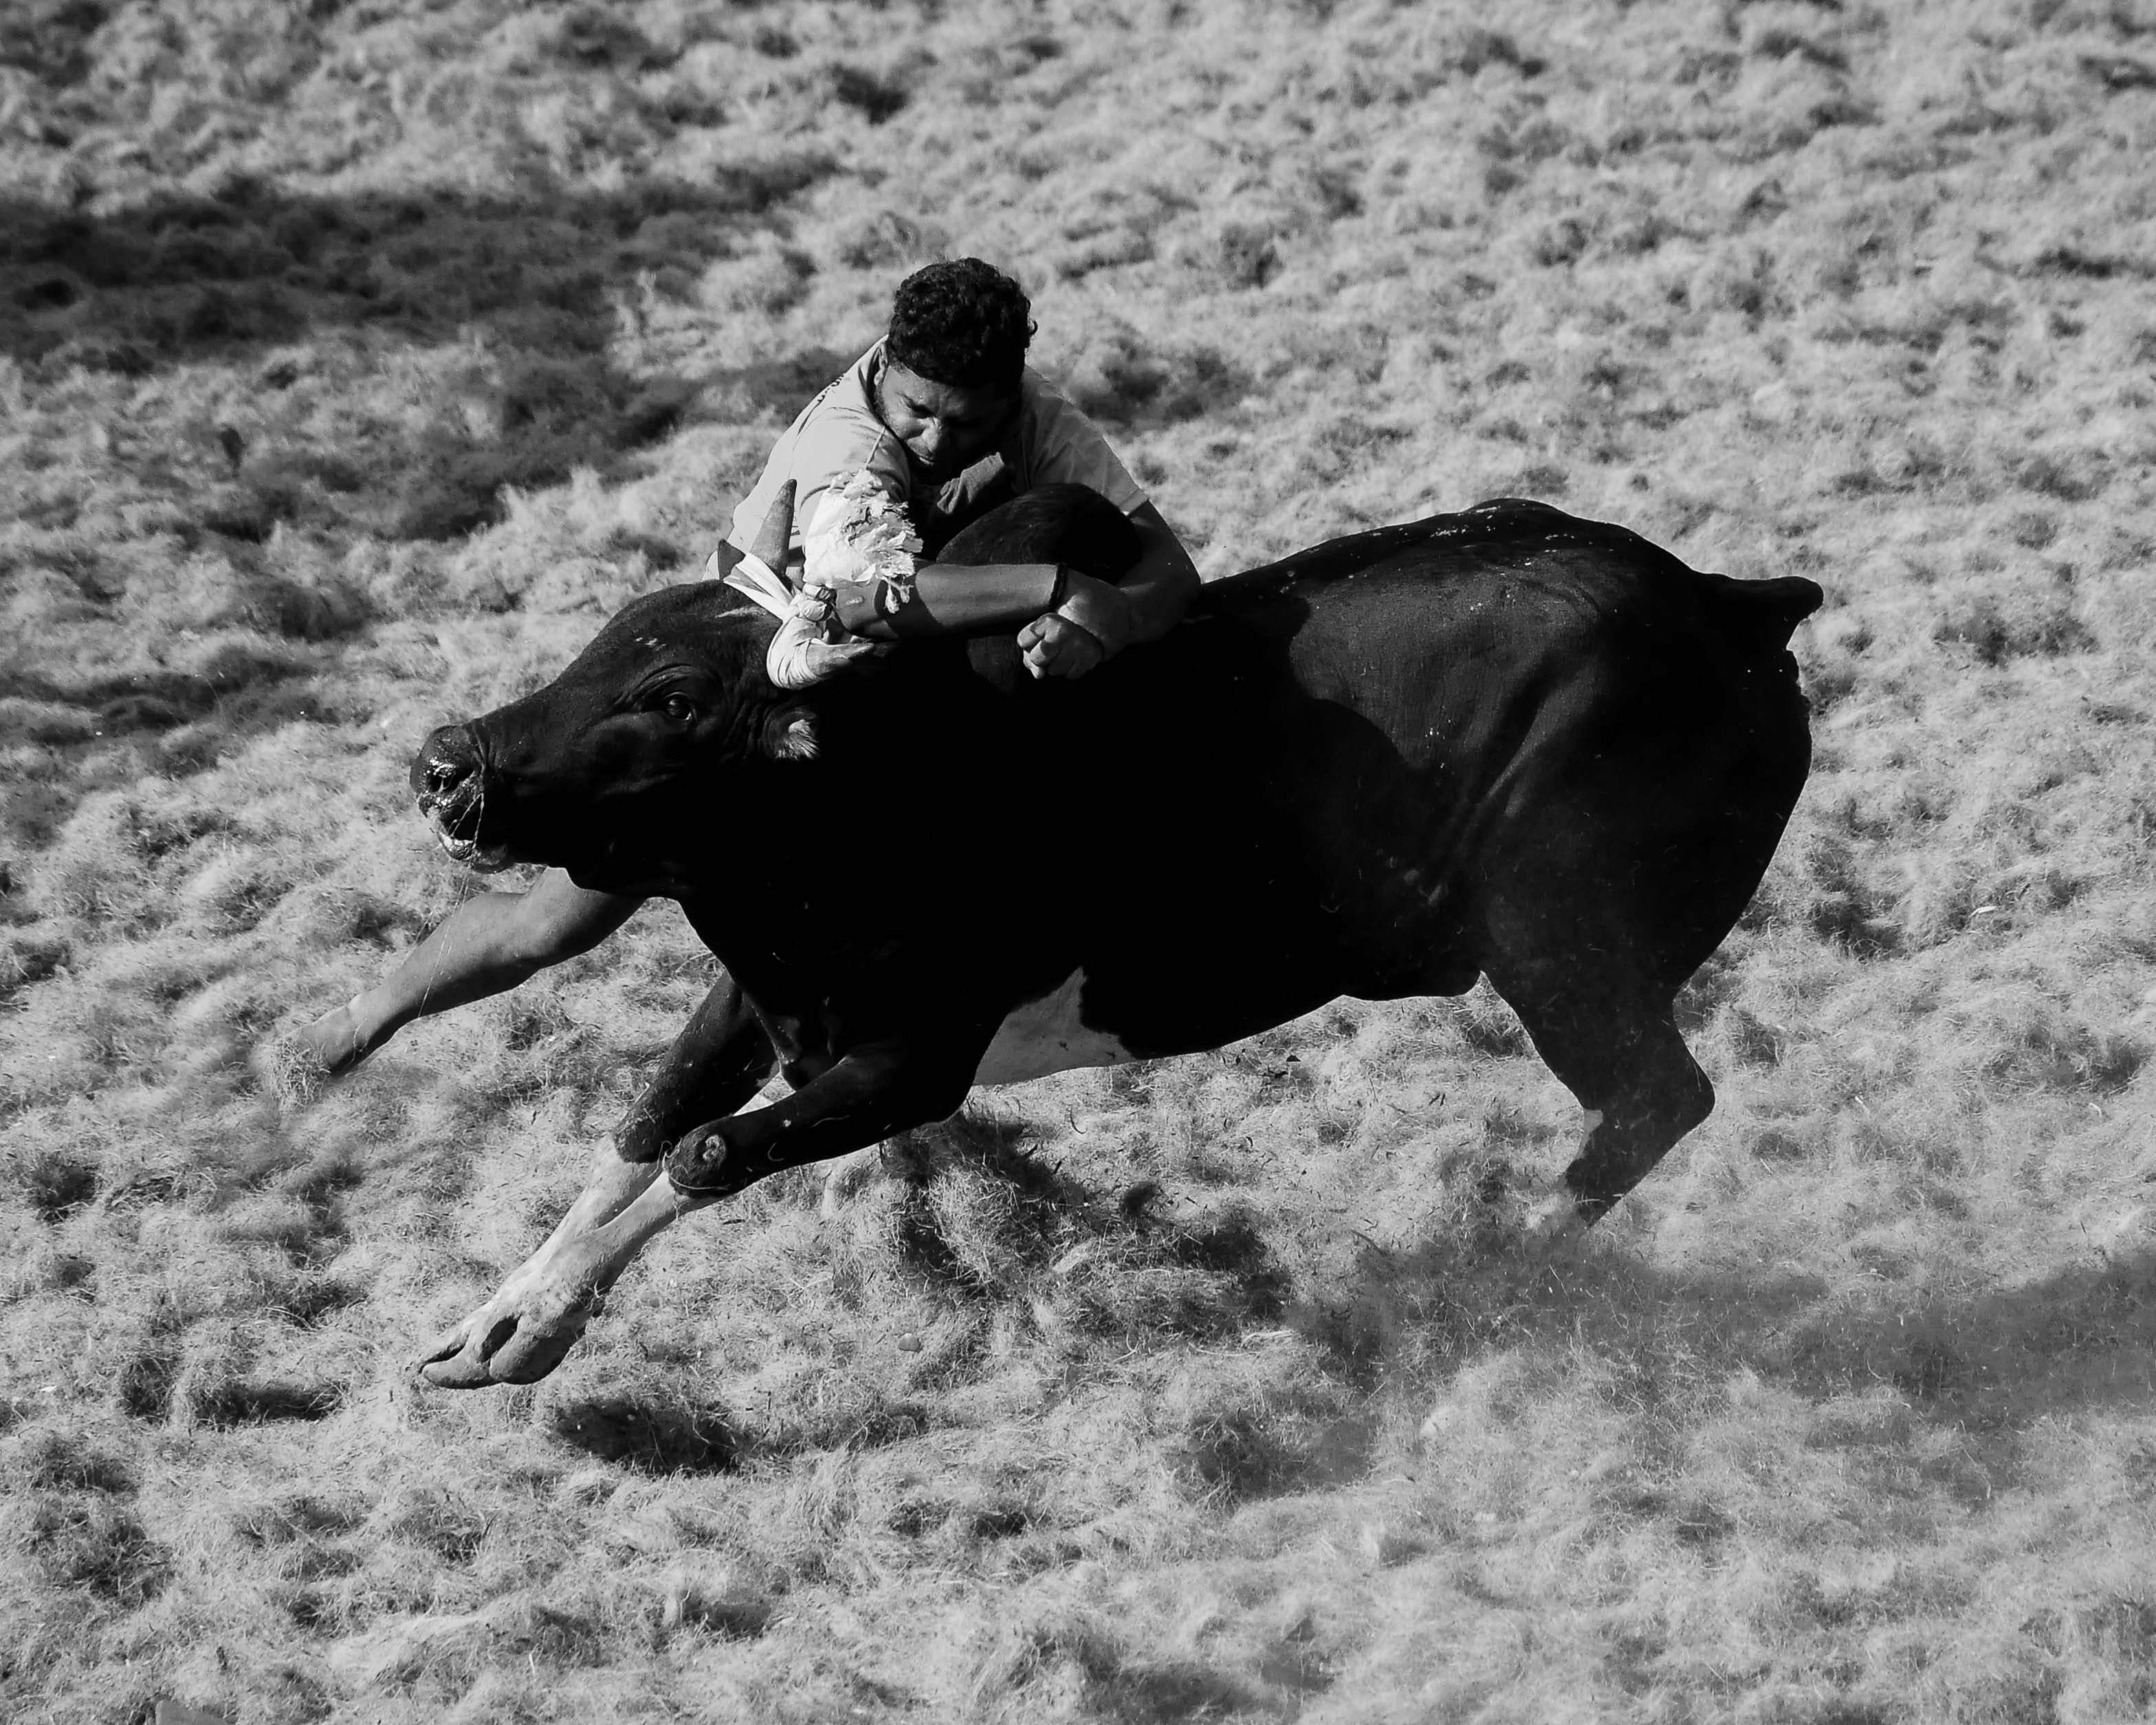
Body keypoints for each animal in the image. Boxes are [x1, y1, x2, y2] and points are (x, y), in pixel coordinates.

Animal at [409, 486, 1820, 1388]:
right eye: (604, 640)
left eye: (671, 696)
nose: (446, 763)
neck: (891, 774)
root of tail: (1734, 602)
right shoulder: (769, 1000)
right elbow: (651, 1117)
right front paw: (509, 1321)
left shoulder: (916, 1058)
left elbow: (705, 1153)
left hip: (1559, 942)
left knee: (1656, 1097)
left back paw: (1472, 1288)